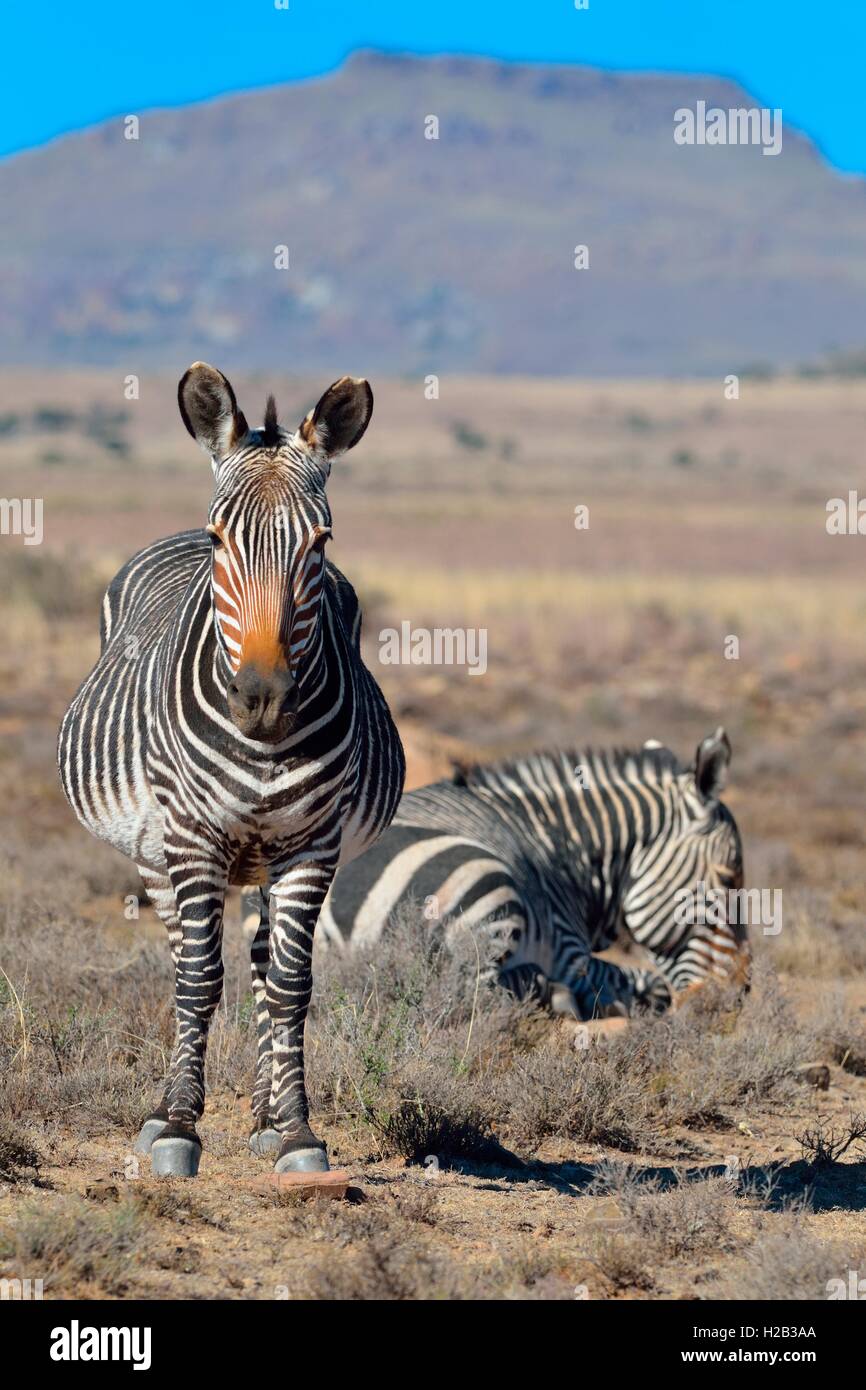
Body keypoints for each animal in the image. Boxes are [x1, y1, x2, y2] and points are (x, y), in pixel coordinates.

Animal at [58, 363, 405, 1177]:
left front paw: (298, 1130)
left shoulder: (313, 845)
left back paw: (264, 1115)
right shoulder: (192, 837)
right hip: (158, 850)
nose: (263, 696)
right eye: (223, 539)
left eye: (320, 543)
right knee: (188, 957)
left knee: (258, 962)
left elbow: (289, 985)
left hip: (265, 858)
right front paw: (180, 1126)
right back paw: (164, 1110)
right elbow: (198, 977)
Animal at [314, 731, 749, 1020]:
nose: (740, 993)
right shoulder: (573, 954)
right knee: (473, 994)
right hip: (488, 886)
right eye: (728, 878)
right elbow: (651, 985)